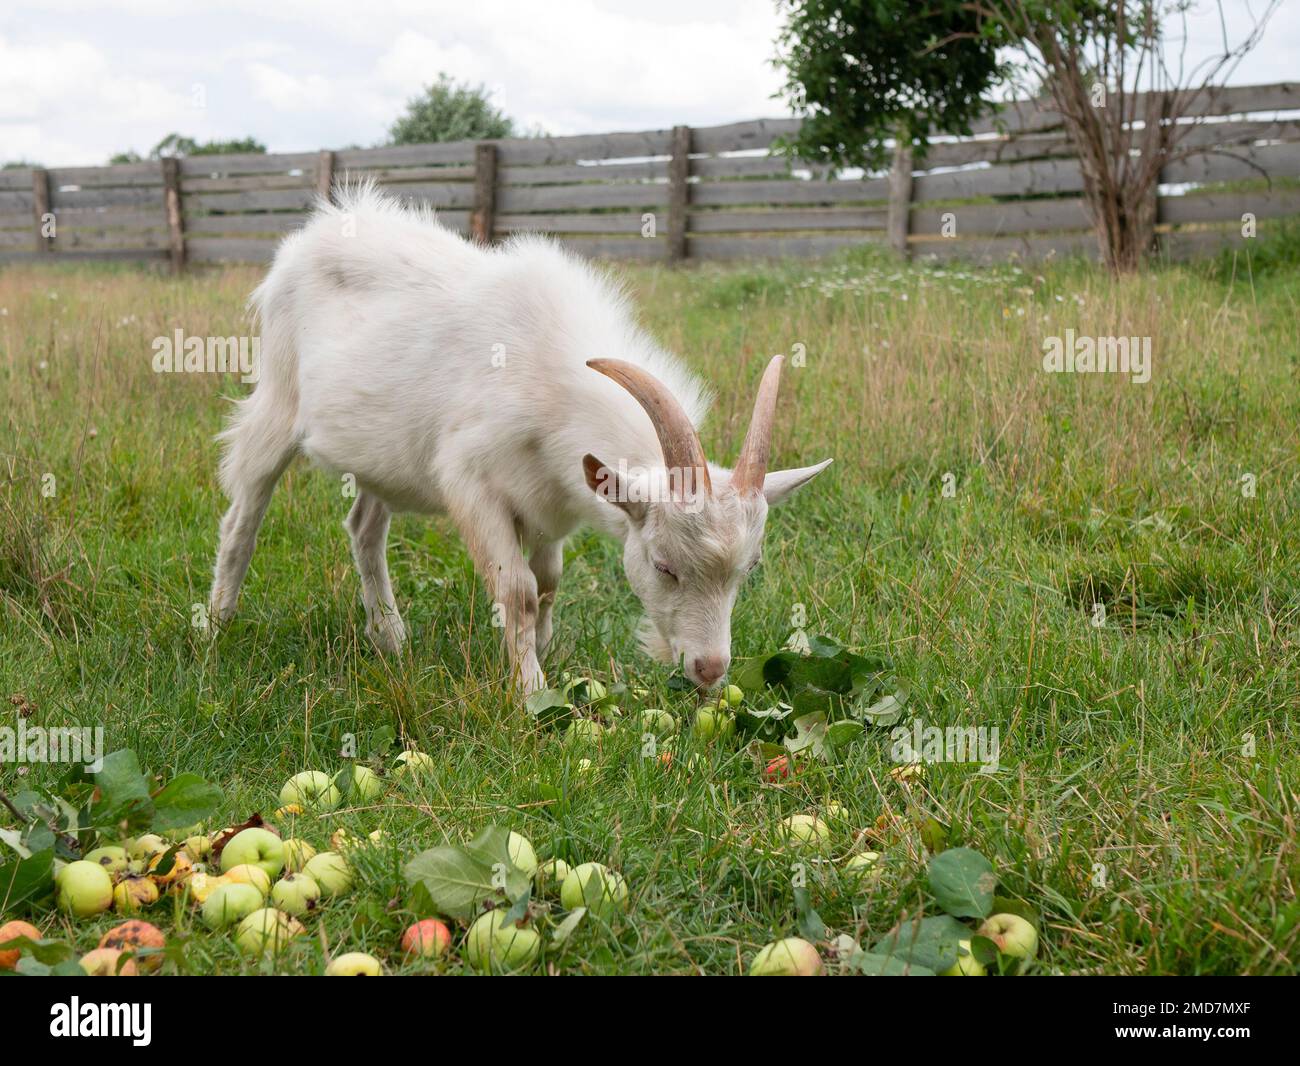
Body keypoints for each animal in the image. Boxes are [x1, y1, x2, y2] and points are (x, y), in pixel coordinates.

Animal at [209, 185, 831, 694]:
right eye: (664, 566)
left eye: (747, 569)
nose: (710, 670)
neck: (551, 376)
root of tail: (317, 231)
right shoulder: (471, 483)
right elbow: (519, 592)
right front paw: (530, 690)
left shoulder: (550, 500)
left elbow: (550, 582)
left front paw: (545, 649)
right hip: (278, 400)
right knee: (245, 511)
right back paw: (217, 628)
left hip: (382, 455)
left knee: (363, 527)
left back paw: (390, 637)